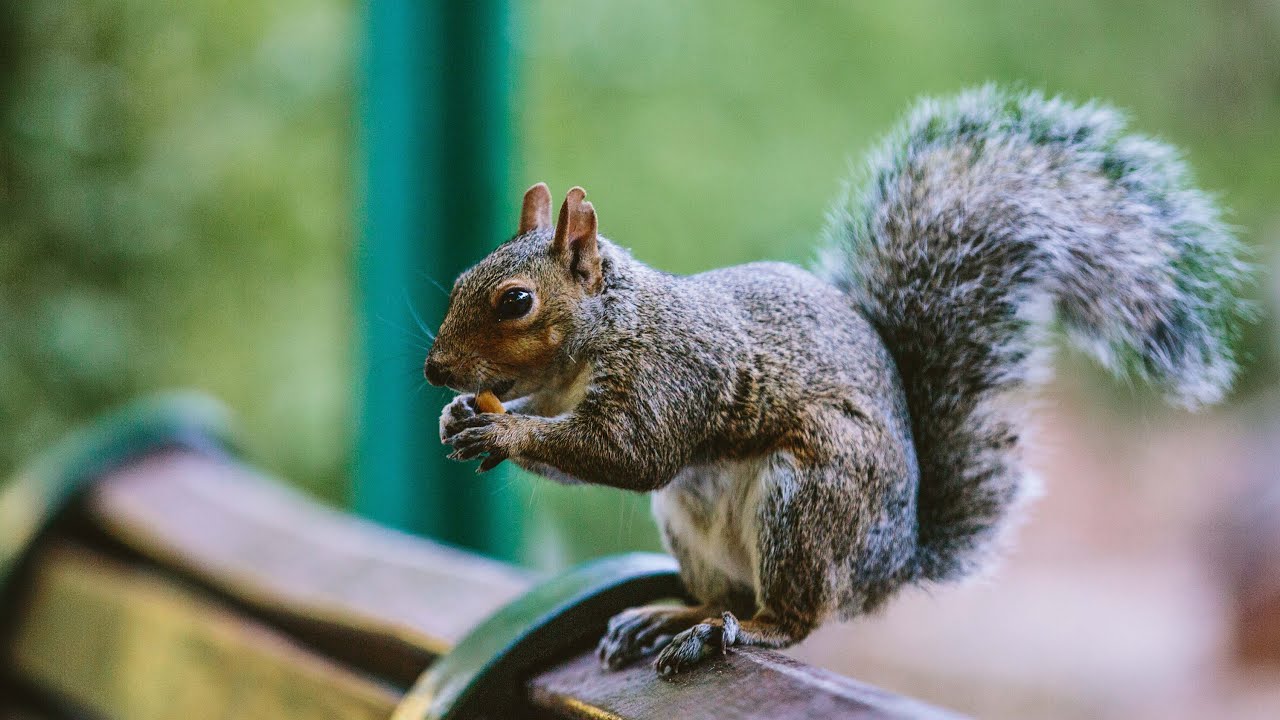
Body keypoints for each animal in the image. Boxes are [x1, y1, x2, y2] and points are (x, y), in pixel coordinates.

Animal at [424, 86, 1251, 676]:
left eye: (516, 301)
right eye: (461, 280)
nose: (435, 370)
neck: (603, 335)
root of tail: (893, 564)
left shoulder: (673, 373)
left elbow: (633, 453)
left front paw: (502, 426)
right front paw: (463, 416)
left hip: (809, 497)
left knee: (792, 618)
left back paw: (736, 632)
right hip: (695, 521)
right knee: (727, 595)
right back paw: (676, 617)